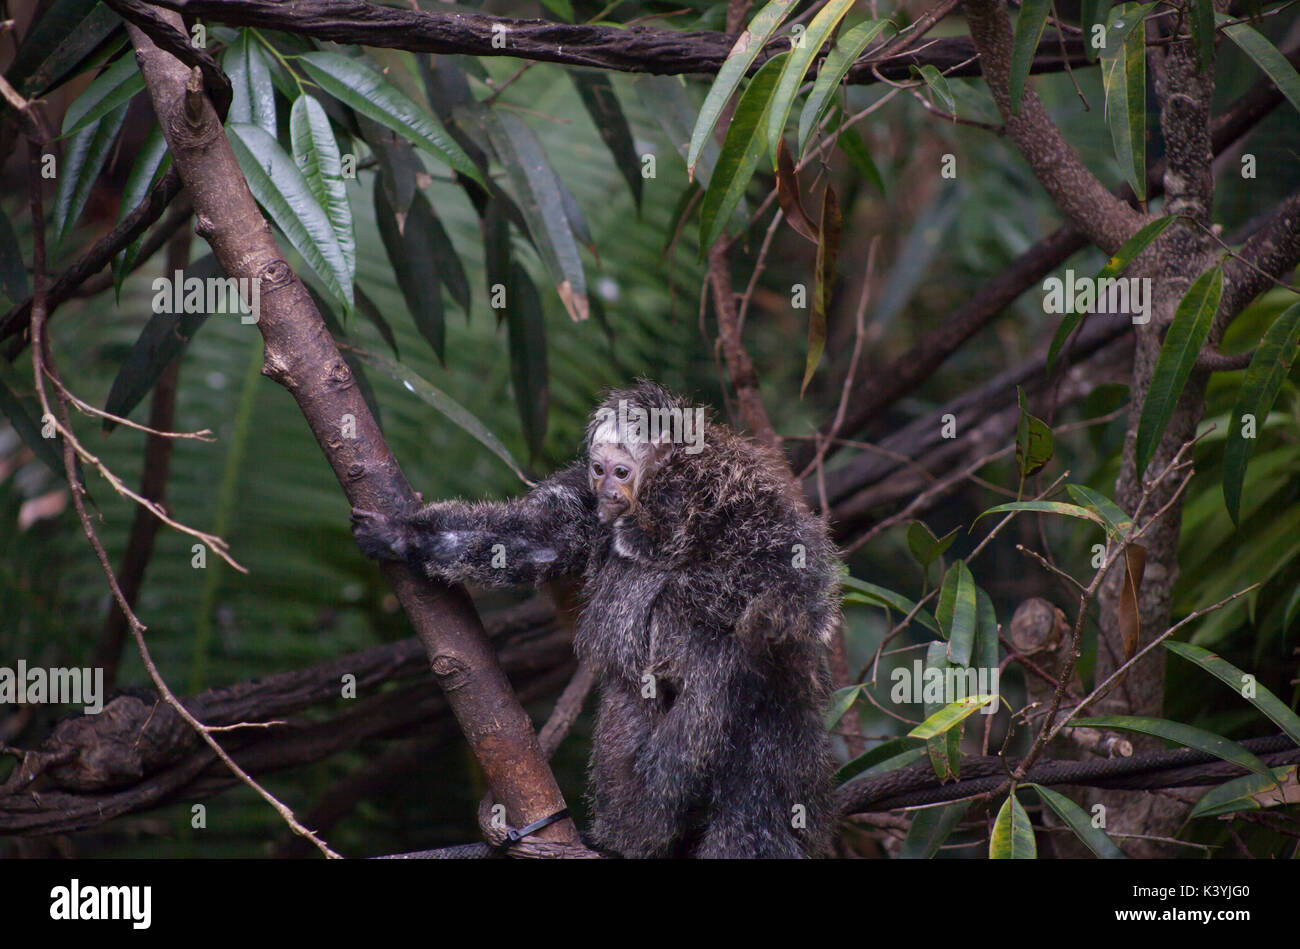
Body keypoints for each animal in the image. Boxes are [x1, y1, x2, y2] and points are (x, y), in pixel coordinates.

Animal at [352, 380, 839, 857]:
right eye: (599, 469)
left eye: (622, 472)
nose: (607, 492)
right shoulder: (583, 499)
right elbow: (529, 539)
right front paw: (403, 537)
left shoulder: (705, 493)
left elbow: (773, 572)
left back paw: (638, 830)